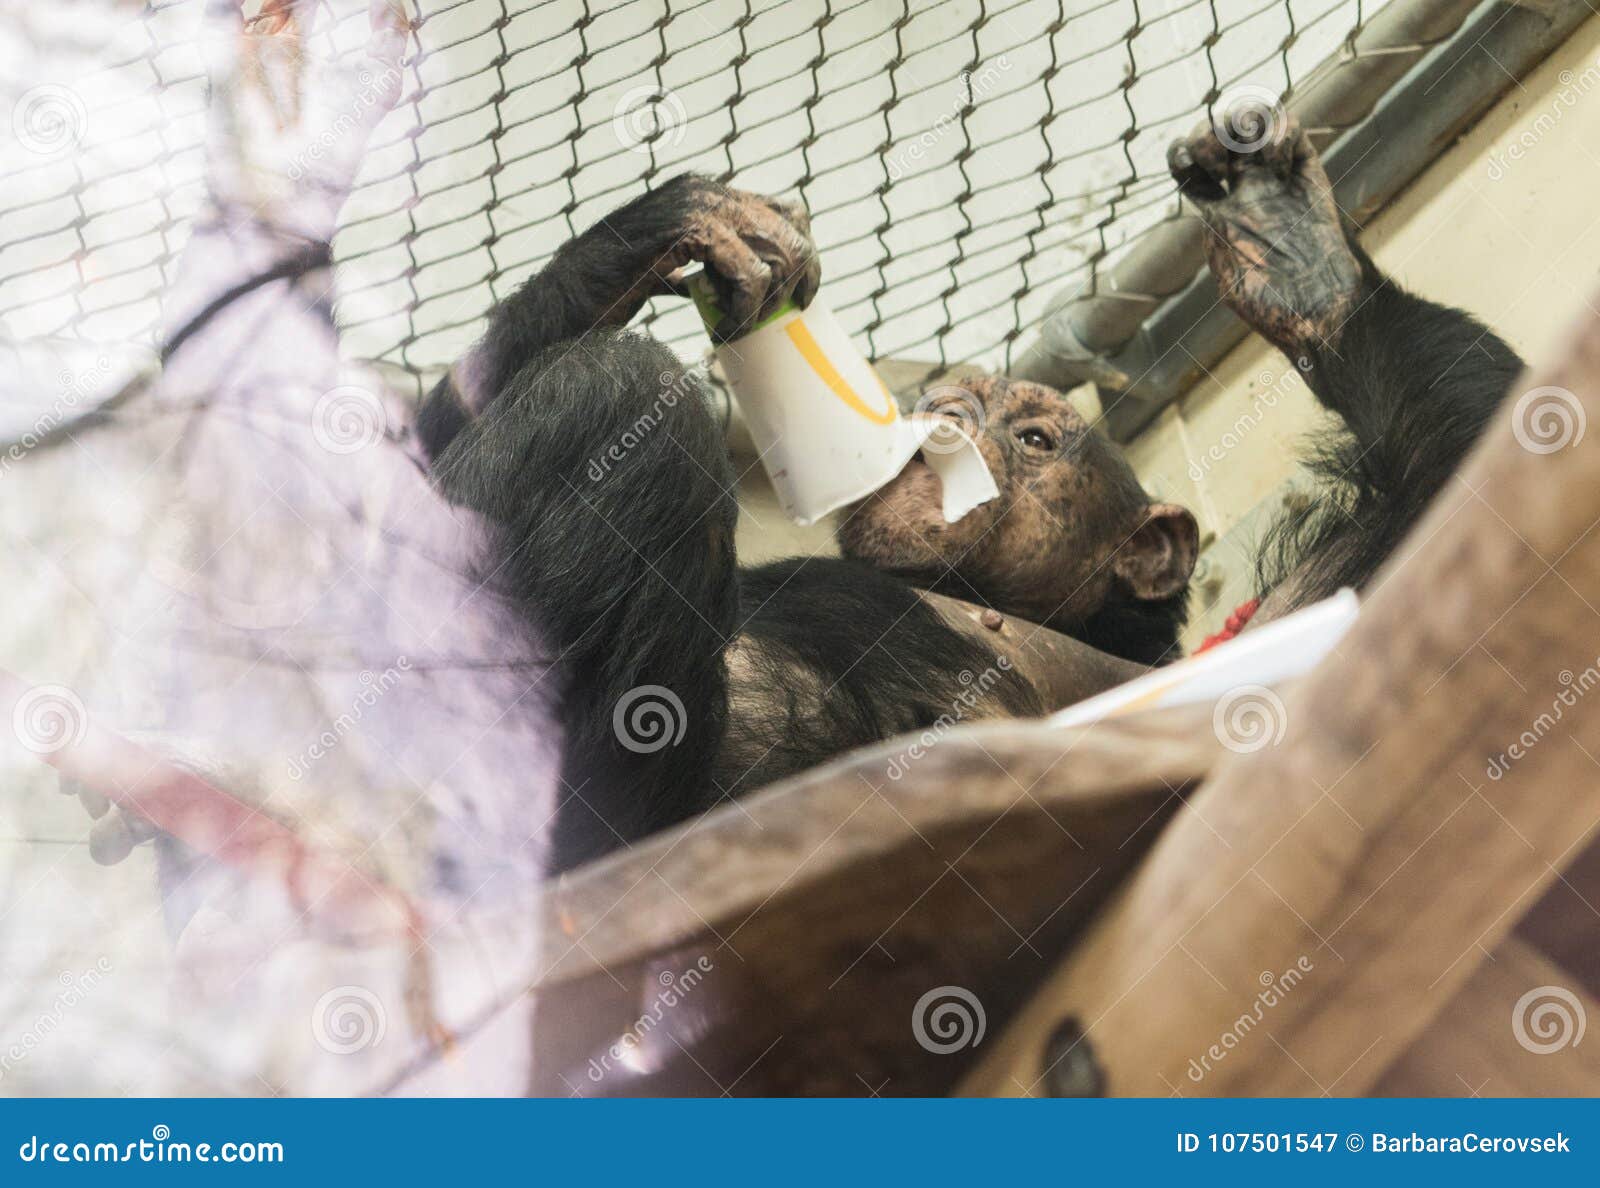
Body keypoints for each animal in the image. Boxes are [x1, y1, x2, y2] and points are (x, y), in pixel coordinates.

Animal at [417, 116, 1521, 872]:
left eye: (1031, 435)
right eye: (951, 396)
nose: (945, 412)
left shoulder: (1264, 632)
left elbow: (1457, 509)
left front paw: (1300, 258)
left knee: (611, 387)